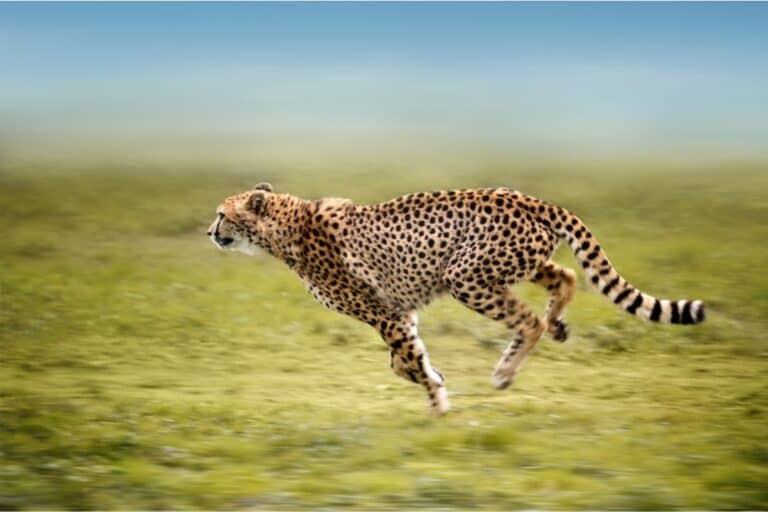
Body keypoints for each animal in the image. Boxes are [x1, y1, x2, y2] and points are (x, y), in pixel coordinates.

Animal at [207, 182, 706, 416]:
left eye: (221, 215)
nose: (210, 232)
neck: (287, 225)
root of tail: (528, 198)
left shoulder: (384, 314)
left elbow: (406, 359)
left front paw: (438, 406)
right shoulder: (398, 312)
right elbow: (403, 361)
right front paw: (436, 379)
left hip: (466, 277)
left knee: (529, 321)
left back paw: (506, 371)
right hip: (514, 264)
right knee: (564, 276)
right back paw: (559, 325)